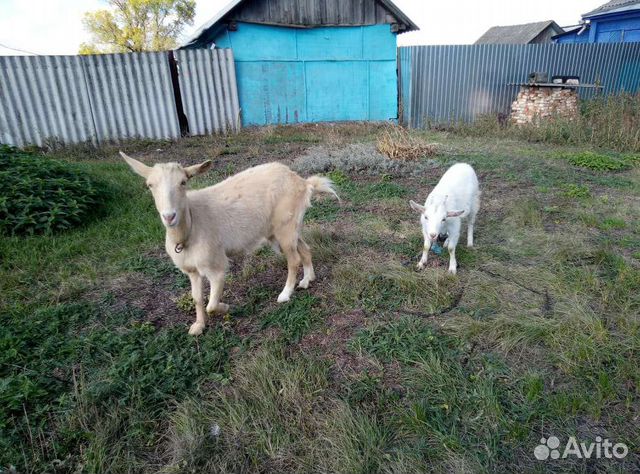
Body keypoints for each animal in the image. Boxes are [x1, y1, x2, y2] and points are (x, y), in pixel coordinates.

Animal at [120, 152, 338, 335]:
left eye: (183, 182)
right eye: (149, 185)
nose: (169, 216)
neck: (190, 228)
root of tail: (304, 182)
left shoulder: (216, 265)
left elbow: (211, 305)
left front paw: (226, 307)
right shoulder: (191, 270)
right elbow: (197, 299)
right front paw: (198, 326)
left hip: (284, 226)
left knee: (293, 260)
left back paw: (285, 294)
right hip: (287, 228)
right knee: (305, 249)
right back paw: (307, 280)